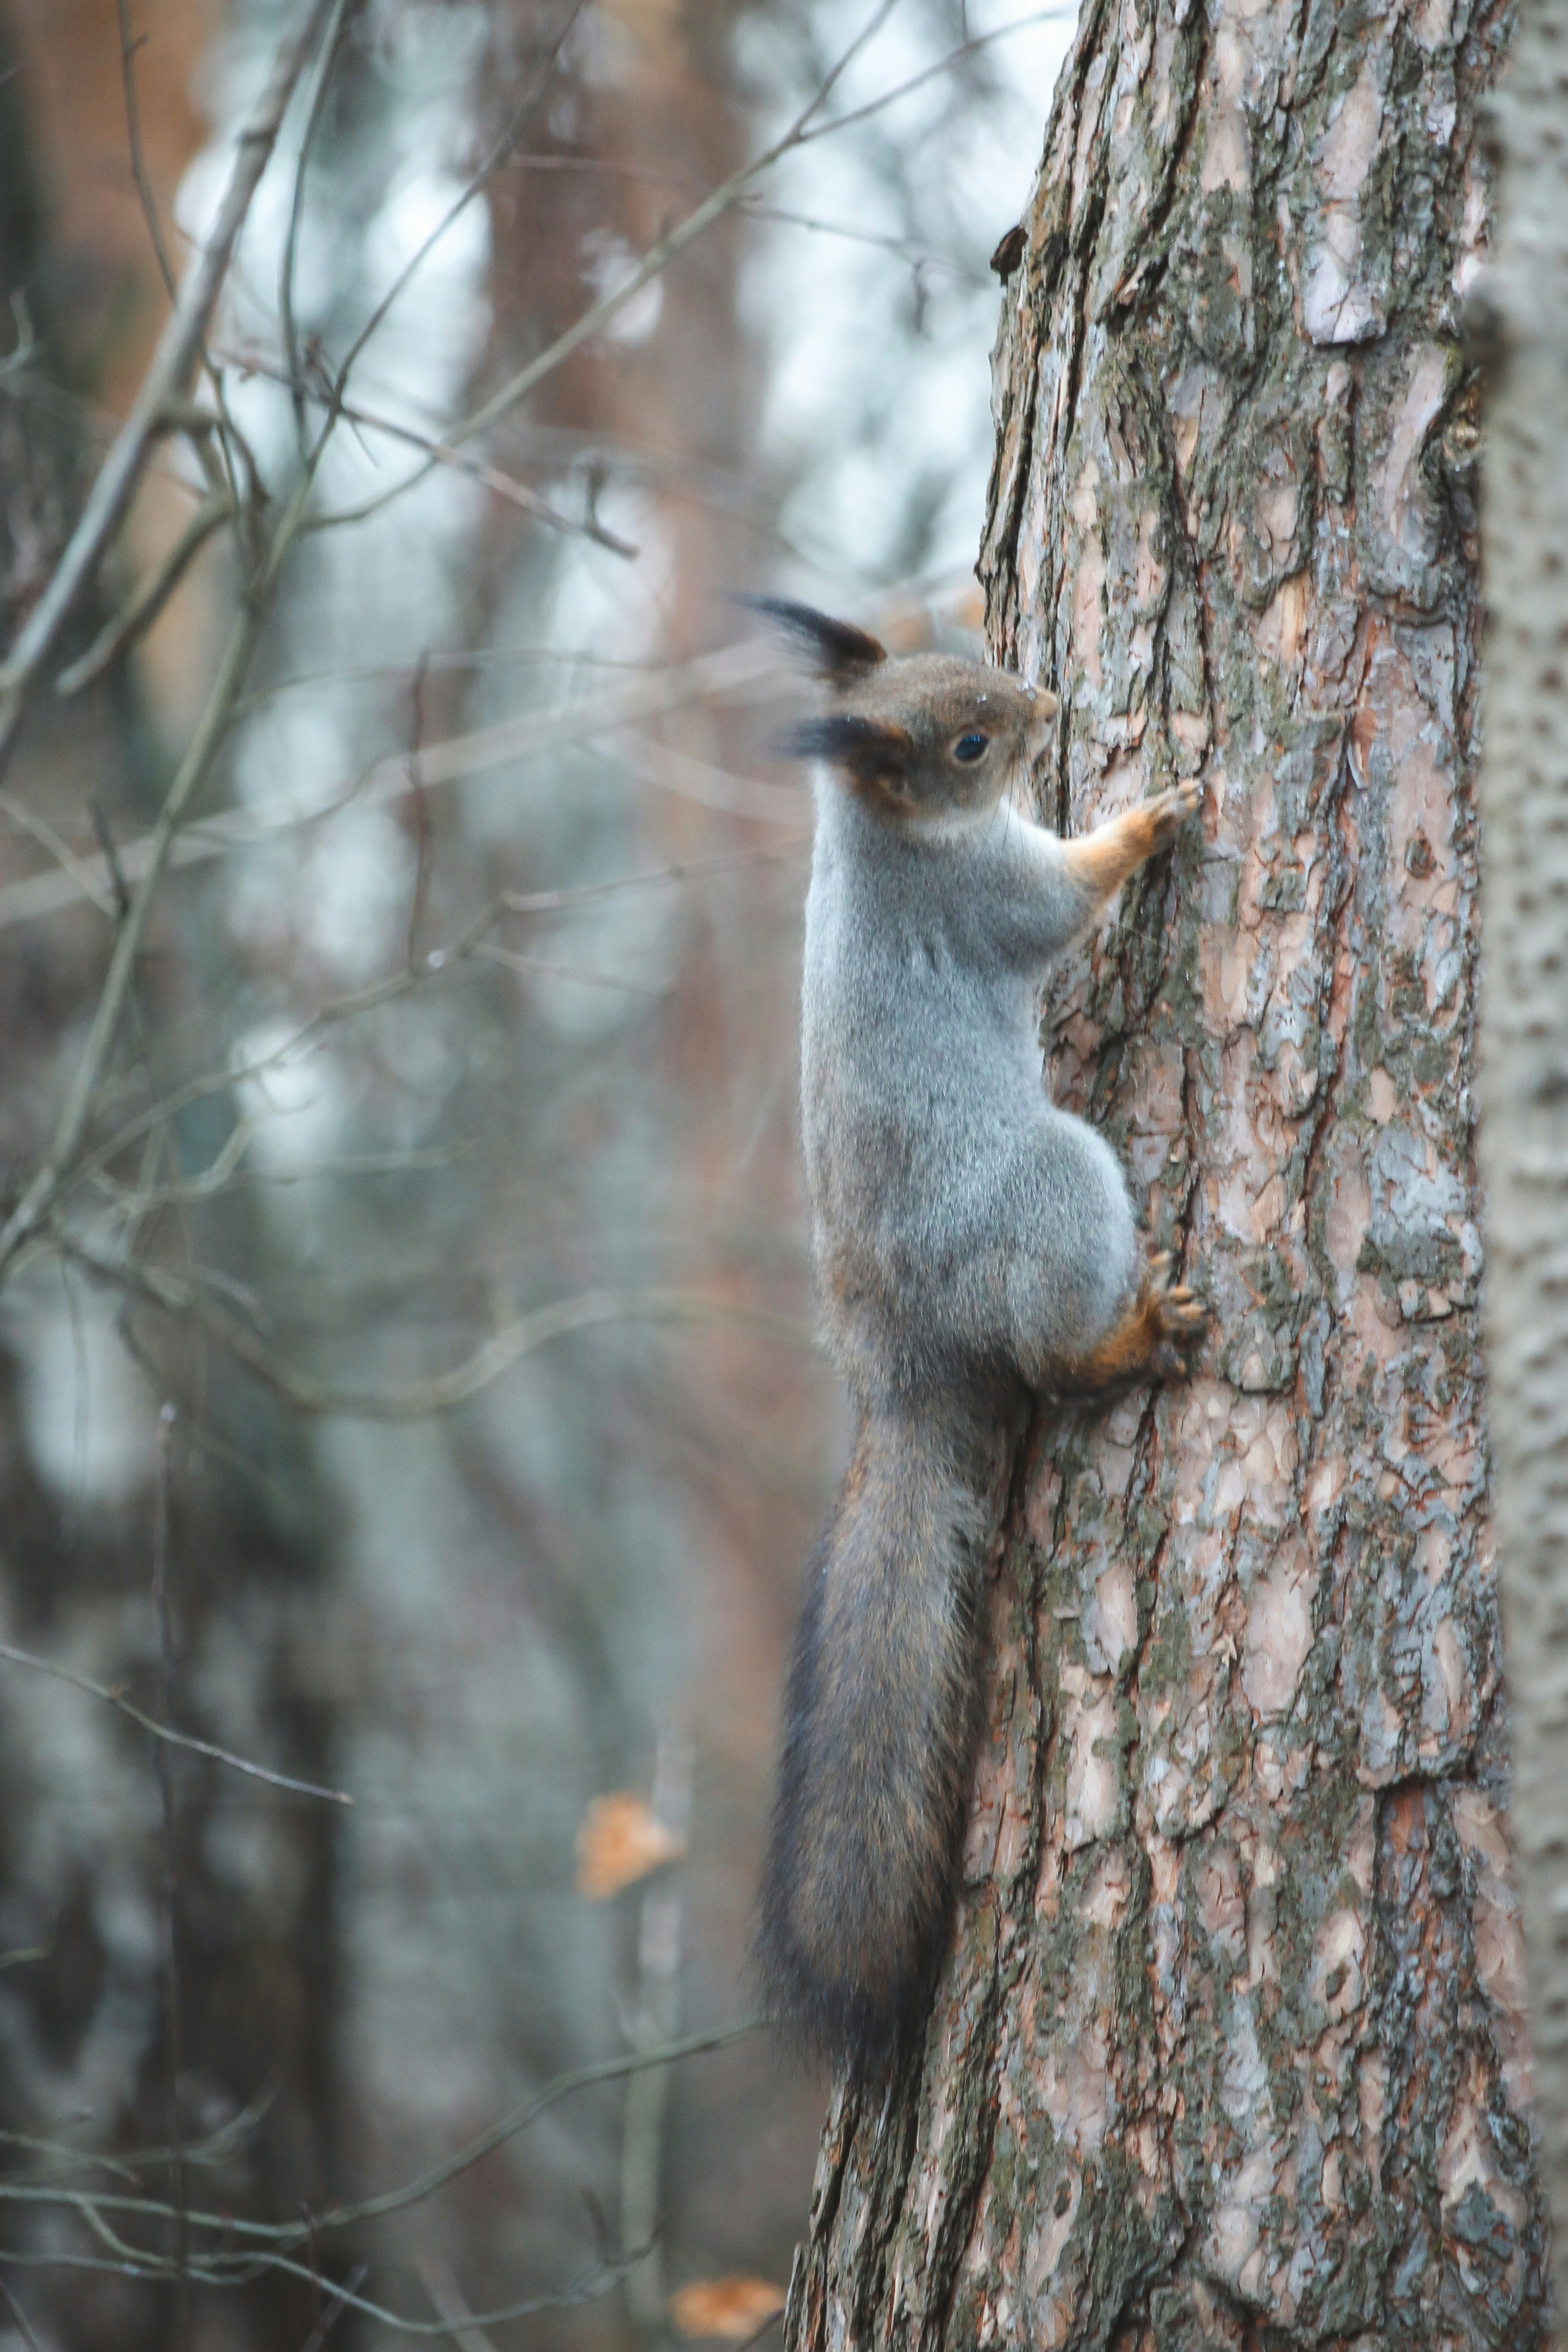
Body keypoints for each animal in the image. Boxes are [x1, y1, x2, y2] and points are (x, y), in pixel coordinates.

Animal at [750, 599, 1208, 2079]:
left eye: (968, 656)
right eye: (965, 743)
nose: (1048, 705)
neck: (876, 836)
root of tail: (896, 1371)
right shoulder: (991, 896)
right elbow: (1064, 897)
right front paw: (1149, 818)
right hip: (1052, 1186)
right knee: (1051, 1360)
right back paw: (1126, 1338)